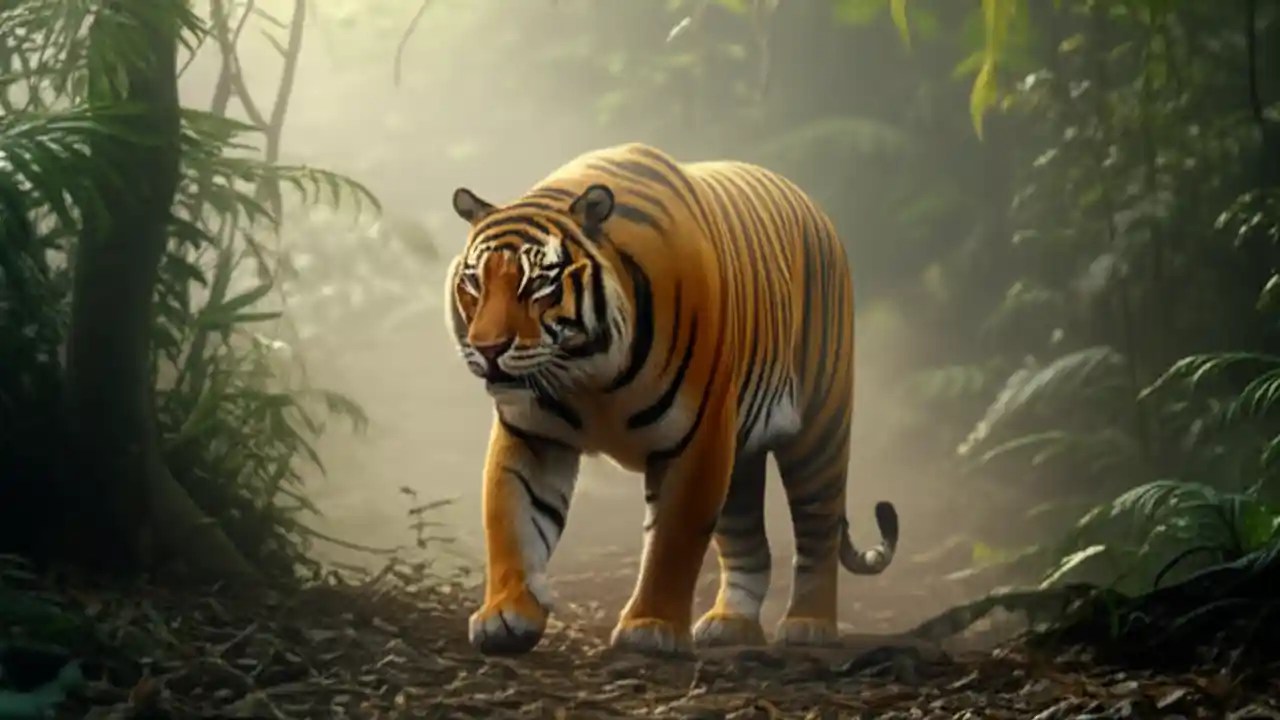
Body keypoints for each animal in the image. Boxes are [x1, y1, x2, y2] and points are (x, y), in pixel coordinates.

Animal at [443, 142, 899, 657]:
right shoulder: (531, 432)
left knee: (817, 527)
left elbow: (673, 540)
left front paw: (650, 627)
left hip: (820, 426)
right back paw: (729, 623)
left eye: (539, 283)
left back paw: (809, 624)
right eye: (474, 283)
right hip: (739, 457)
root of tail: (812, 205)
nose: (487, 349)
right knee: (750, 543)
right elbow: (512, 517)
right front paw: (506, 614)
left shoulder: (697, 438)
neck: (588, 376)